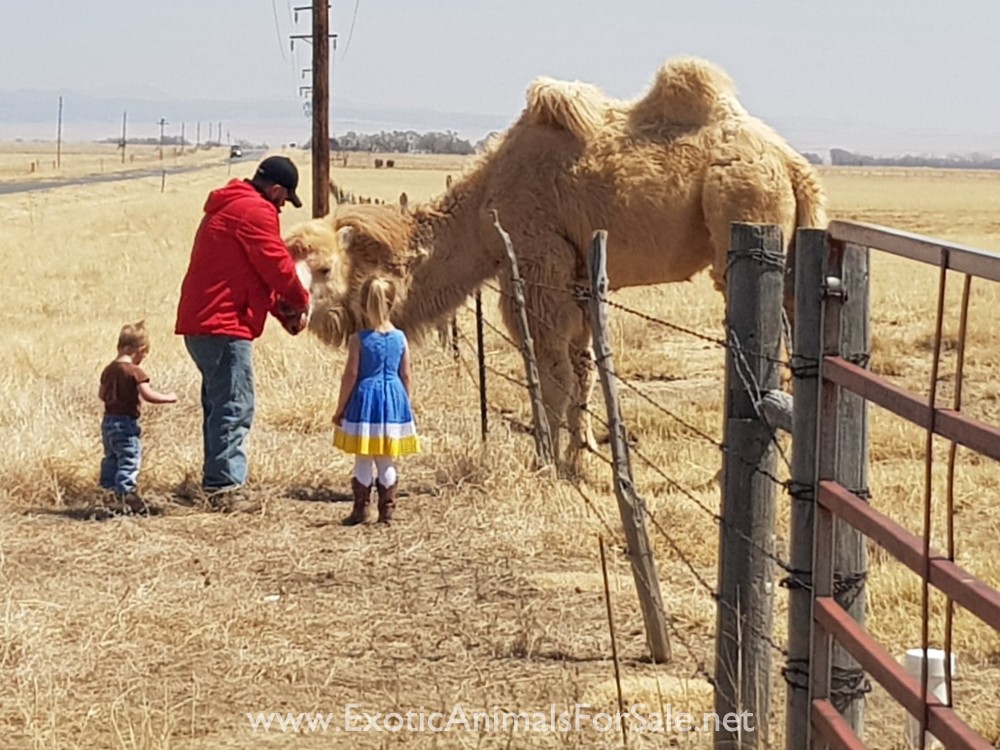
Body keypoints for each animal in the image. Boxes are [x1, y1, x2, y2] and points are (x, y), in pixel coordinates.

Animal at [285, 56, 828, 470]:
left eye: (325, 267)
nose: (298, 311)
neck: (484, 209)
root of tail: (791, 162)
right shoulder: (580, 278)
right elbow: (582, 367)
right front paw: (580, 452)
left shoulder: (537, 260)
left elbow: (550, 370)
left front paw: (547, 460)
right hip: (789, 246)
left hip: (743, 207)